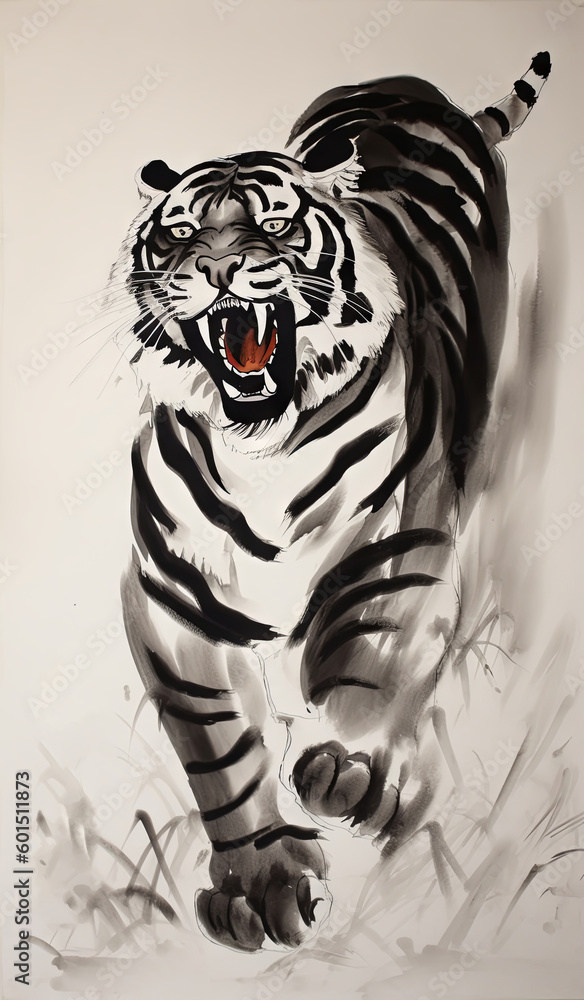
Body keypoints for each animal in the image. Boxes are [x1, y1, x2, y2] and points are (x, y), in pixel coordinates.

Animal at [112, 53, 551, 952]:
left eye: (273, 225)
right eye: (179, 235)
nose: (215, 270)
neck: (260, 453)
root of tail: (417, 90)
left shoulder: (400, 547)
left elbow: (369, 661)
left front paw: (352, 768)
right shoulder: (168, 600)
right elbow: (218, 750)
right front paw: (261, 884)